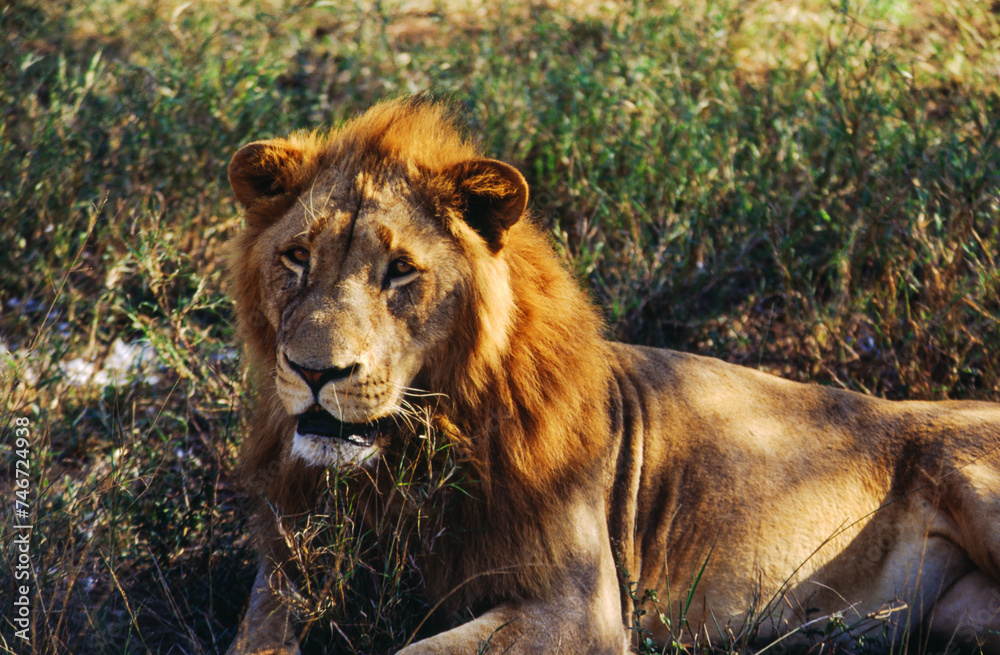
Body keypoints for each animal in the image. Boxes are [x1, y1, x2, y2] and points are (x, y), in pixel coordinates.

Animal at [224, 97, 1000, 654]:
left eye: (400, 270)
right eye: (296, 257)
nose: (314, 370)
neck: (412, 450)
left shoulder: (583, 606)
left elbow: (417, 651)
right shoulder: (285, 565)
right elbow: (256, 637)